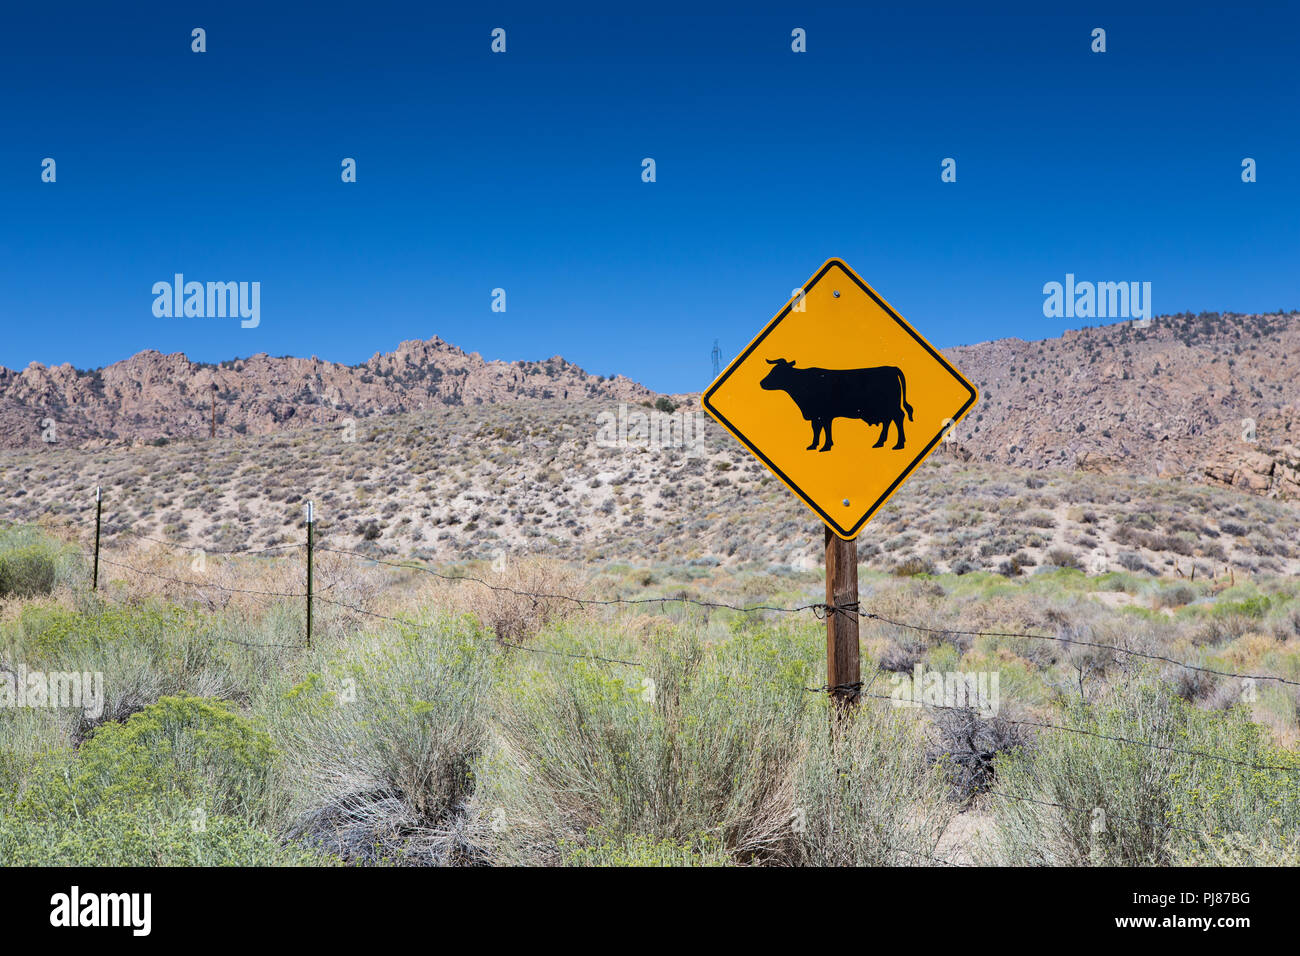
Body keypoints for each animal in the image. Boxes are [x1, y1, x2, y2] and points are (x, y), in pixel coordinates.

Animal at [759, 358, 914, 452]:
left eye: (777, 372)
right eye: (772, 370)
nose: (761, 383)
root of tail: (892, 368)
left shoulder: (824, 414)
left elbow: (825, 429)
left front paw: (826, 446)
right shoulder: (817, 415)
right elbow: (817, 429)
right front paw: (814, 445)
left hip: (891, 406)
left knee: (898, 418)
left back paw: (899, 444)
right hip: (885, 408)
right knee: (888, 421)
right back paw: (880, 442)